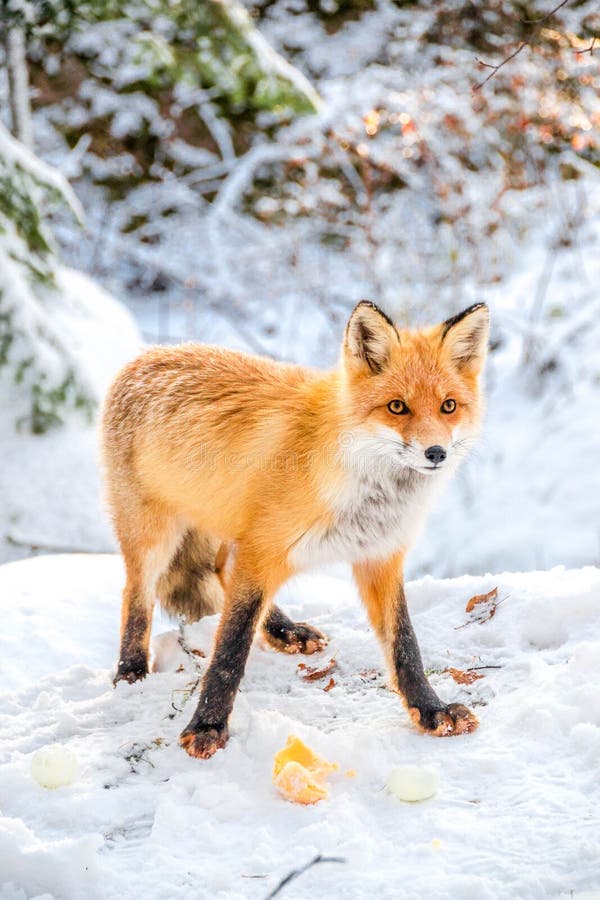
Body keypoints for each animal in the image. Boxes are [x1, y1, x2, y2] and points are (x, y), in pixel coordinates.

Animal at [102, 300, 489, 760]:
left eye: (448, 406)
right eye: (397, 407)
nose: (436, 453)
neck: (362, 486)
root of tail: (147, 354)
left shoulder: (379, 555)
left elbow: (405, 645)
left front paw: (431, 711)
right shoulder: (264, 547)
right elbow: (230, 648)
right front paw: (208, 725)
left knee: (220, 568)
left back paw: (286, 632)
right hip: (154, 536)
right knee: (136, 593)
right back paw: (130, 670)